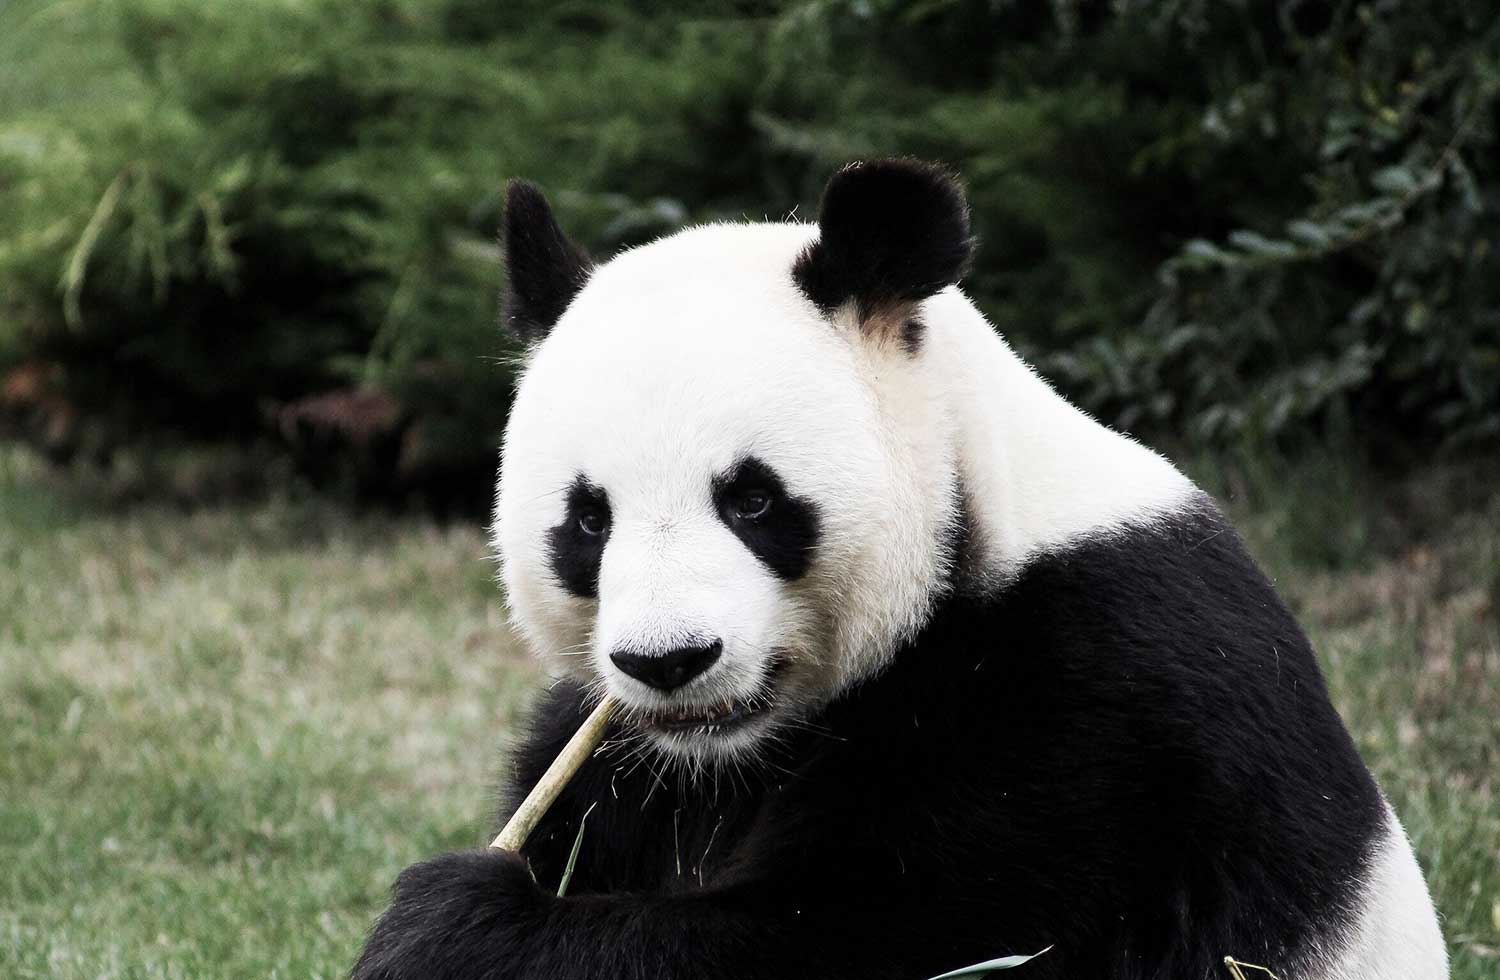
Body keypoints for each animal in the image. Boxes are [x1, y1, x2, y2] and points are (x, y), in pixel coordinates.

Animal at [352, 160, 1448, 980]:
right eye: (588, 520)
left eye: (753, 500)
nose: (670, 661)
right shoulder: (621, 758)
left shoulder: (1092, 703)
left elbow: (893, 934)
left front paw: (451, 927)